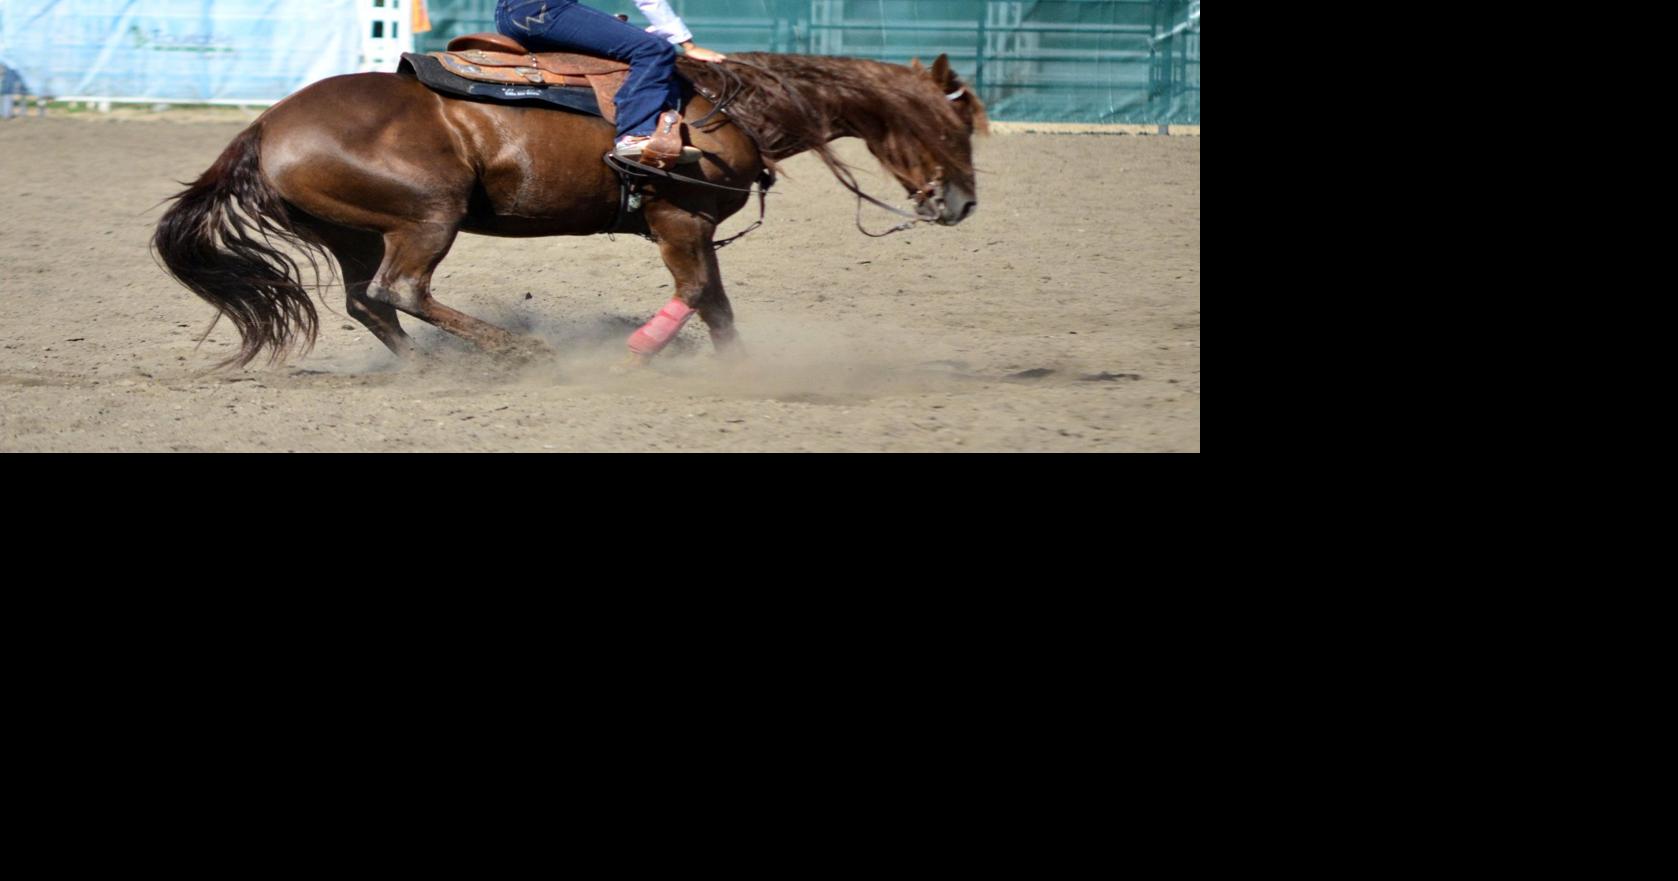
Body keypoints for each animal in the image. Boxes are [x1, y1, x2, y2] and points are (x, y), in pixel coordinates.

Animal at [152, 49, 988, 369]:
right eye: (951, 127)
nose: (962, 204)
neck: (732, 107)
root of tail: (265, 126)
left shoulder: (696, 229)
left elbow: (716, 304)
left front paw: (738, 367)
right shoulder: (678, 222)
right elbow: (695, 293)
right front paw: (638, 351)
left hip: (354, 231)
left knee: (369, 300)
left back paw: (430, 368)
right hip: (428, 215)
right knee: (402, 289)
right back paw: (519, 351)